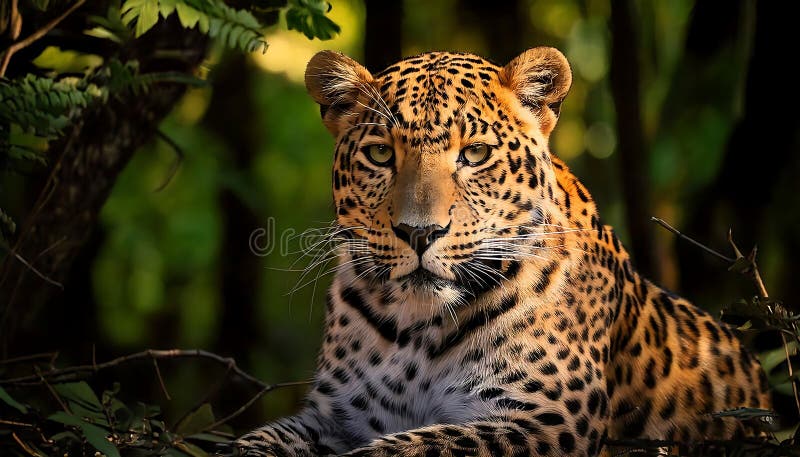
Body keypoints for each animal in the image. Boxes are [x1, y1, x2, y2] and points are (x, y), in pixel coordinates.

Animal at [233, 47, 772, 456]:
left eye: (475, 154)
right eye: (380, 154)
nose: (419, 232)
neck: (416, 327)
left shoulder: (547, 419)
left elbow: (420, 446)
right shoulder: (336, 414)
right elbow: (256, 441)